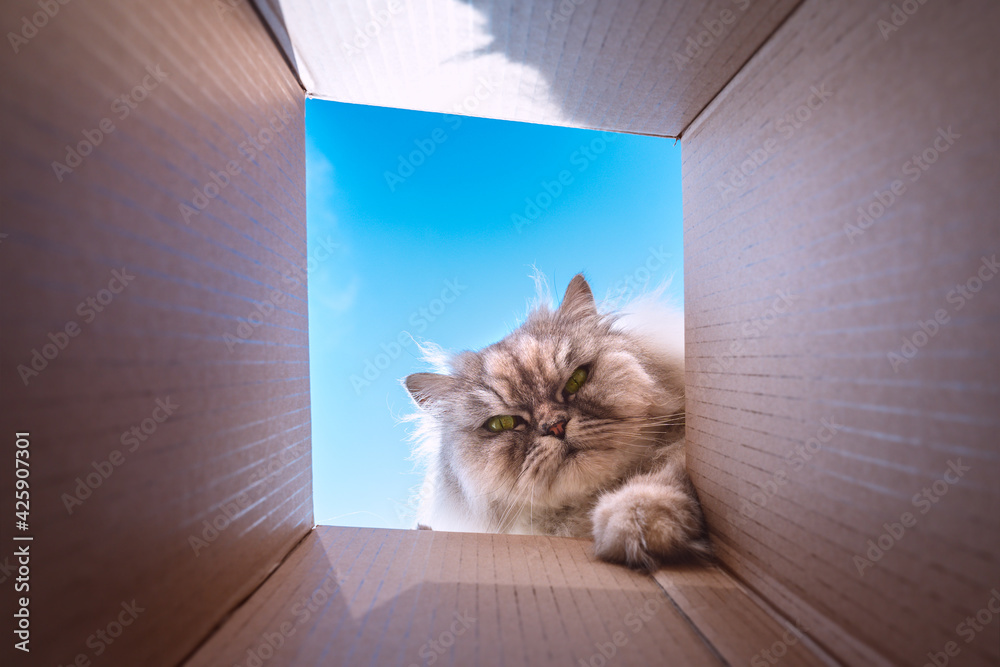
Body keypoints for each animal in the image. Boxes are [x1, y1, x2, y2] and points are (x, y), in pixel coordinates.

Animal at [402, 274, 710, 569]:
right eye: (502, 424)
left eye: (576, 379)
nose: (555, 426)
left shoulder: (678, 453)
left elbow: (664, 475)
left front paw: (635, 524)